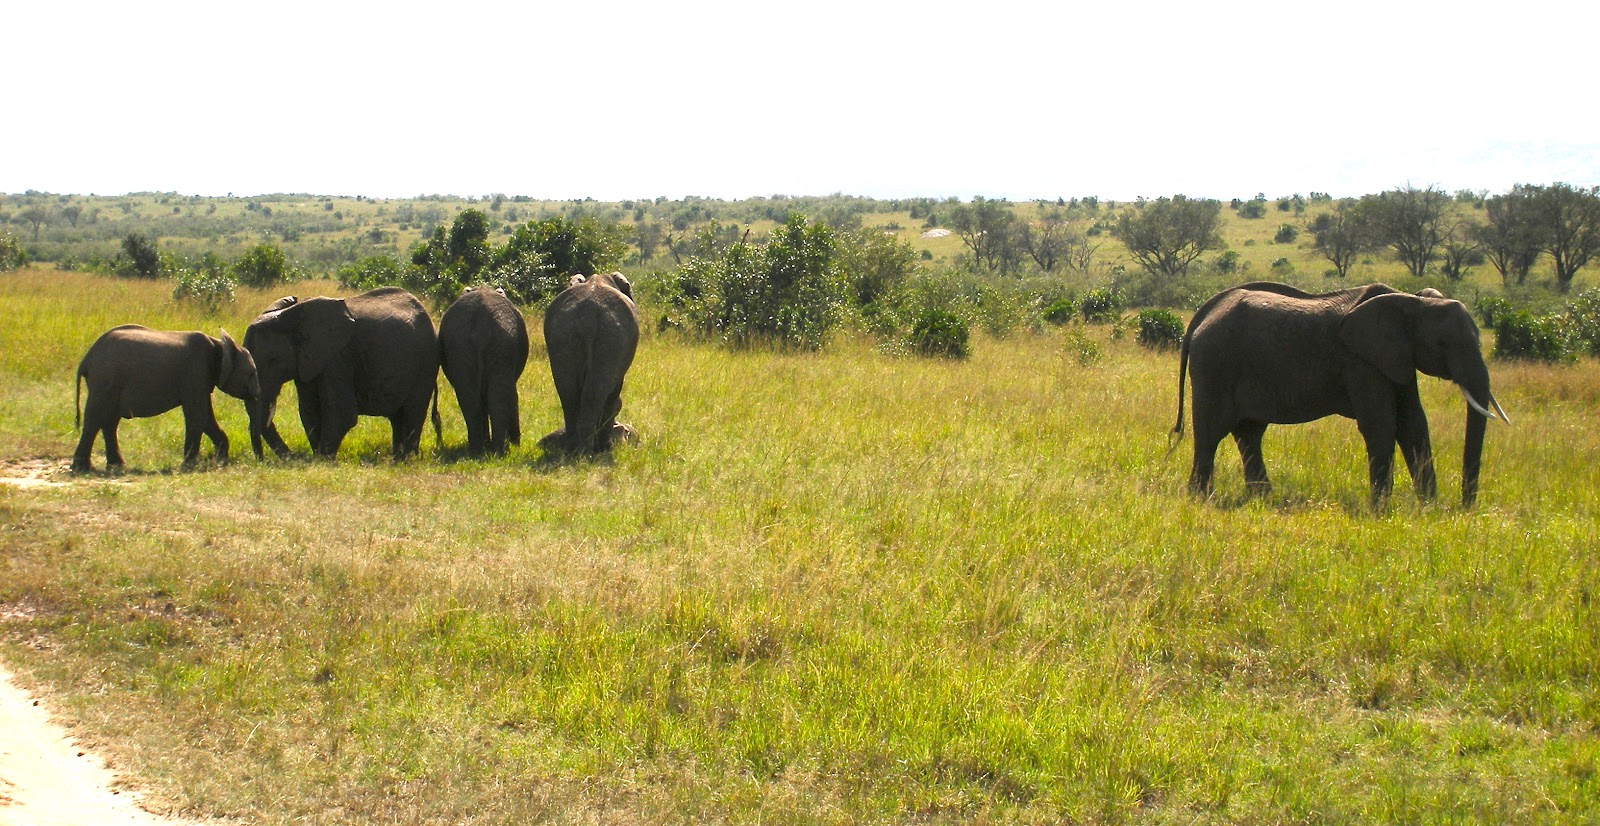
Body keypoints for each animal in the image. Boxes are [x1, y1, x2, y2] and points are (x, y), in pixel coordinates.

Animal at [72, 326, 260, 472]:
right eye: (252, 374)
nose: (256, 394)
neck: (219, 345)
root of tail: (86, 359)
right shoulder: (195, 373)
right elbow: (198, 416)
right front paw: (189, 466)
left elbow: (206, 418)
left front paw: (220, 461)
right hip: (105, 381)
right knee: (95, 419)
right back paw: (83, 469)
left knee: (109, 422)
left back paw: (116, 467)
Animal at [243, 287, 440, 460]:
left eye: (274, 359)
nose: (293, 457)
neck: (290, 316)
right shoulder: (309, 363)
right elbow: (309, 410)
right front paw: (318, 457)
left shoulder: (337, 357)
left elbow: (341, 412)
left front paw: (323, 460)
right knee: (397, 417)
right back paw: (398, 459)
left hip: (426, 362)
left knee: (413, 411)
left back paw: (408, 459)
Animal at [438, 285, 529, 455]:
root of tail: (480, 325)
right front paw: (515, 444)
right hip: (499, 342)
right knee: (494, 397)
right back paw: (497, 450)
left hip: (463, 343)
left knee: (469, 398)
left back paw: (479, 450)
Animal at [539, 272, 639, 456]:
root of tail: (588, 313)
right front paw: (606, 448)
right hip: (611, 337)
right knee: (597, 392)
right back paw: (589, 452)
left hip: (563, 334)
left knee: (567, 393)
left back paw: (573, 450)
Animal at [1174, 282, 1510, 507]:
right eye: (1443, 344)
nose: (1465, 507)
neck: (1412, 301)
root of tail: (1201, 317)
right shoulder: (1360, 360)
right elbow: (1381, 425)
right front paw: (1381, 510)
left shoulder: (1395, 358)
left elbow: (1413, 423)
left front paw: (1427, 507)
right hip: (1216, 364)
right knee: (1210, 434)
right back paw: (1201, 499)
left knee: (1249, 434)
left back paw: (1263, 499)